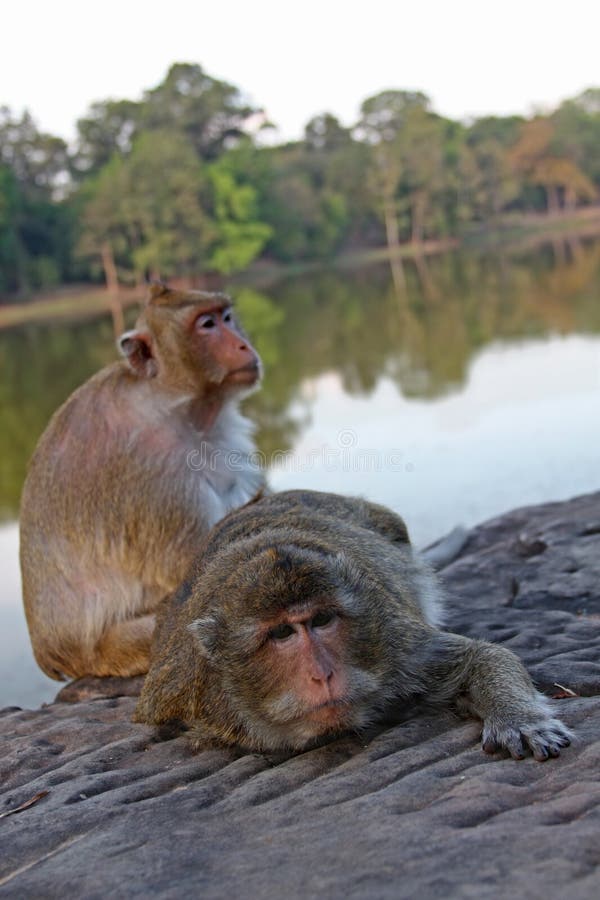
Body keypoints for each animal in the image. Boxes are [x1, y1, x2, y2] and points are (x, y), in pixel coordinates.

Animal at [19, 283, 265, 682]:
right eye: (207, 324)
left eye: (227, 317)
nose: (244, 345)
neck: (173, 401)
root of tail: (55, 659)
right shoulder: (156, 471)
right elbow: (191, 565)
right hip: (112, 653)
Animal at [134, 490, 573, 761]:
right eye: (282, 633)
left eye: (322, 620)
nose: (322, 674)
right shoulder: (182, 691)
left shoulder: (394, 645)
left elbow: (481, 655)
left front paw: (519, 720)